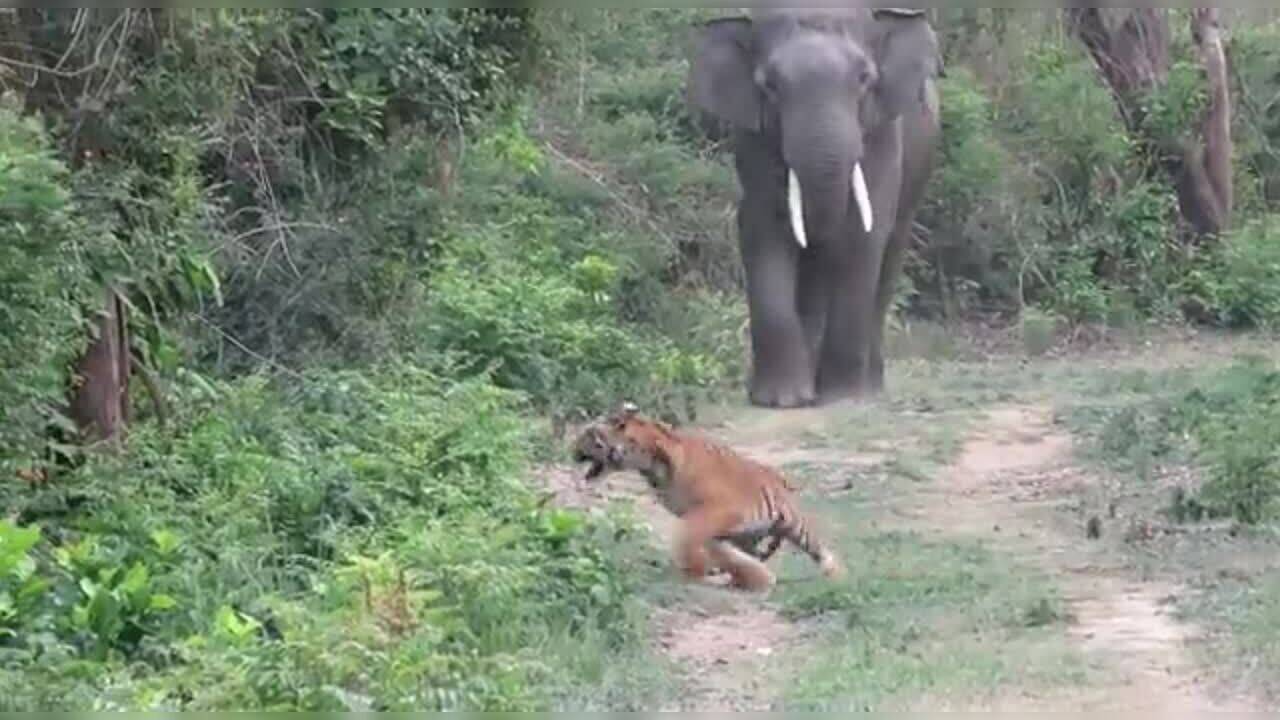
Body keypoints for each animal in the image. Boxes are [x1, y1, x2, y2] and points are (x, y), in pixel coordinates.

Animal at [572, 403, 843, 592]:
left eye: (589, 434)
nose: (572, 450)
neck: (650, 463)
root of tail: (779, 477)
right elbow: (712, 547)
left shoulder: (716, 510)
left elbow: (687, 538)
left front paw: (694, 572)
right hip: (749, 535)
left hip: (793, 524)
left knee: (821, 550)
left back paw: (837, 577)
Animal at [687, 8, 942, 408]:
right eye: (770, 86)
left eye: (864, 78)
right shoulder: (753, 138)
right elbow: (763, 229)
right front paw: (781, 400)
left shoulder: (883, 133)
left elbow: (863, 236)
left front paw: (843, 397)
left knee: (889, 254)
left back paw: (869, 385)